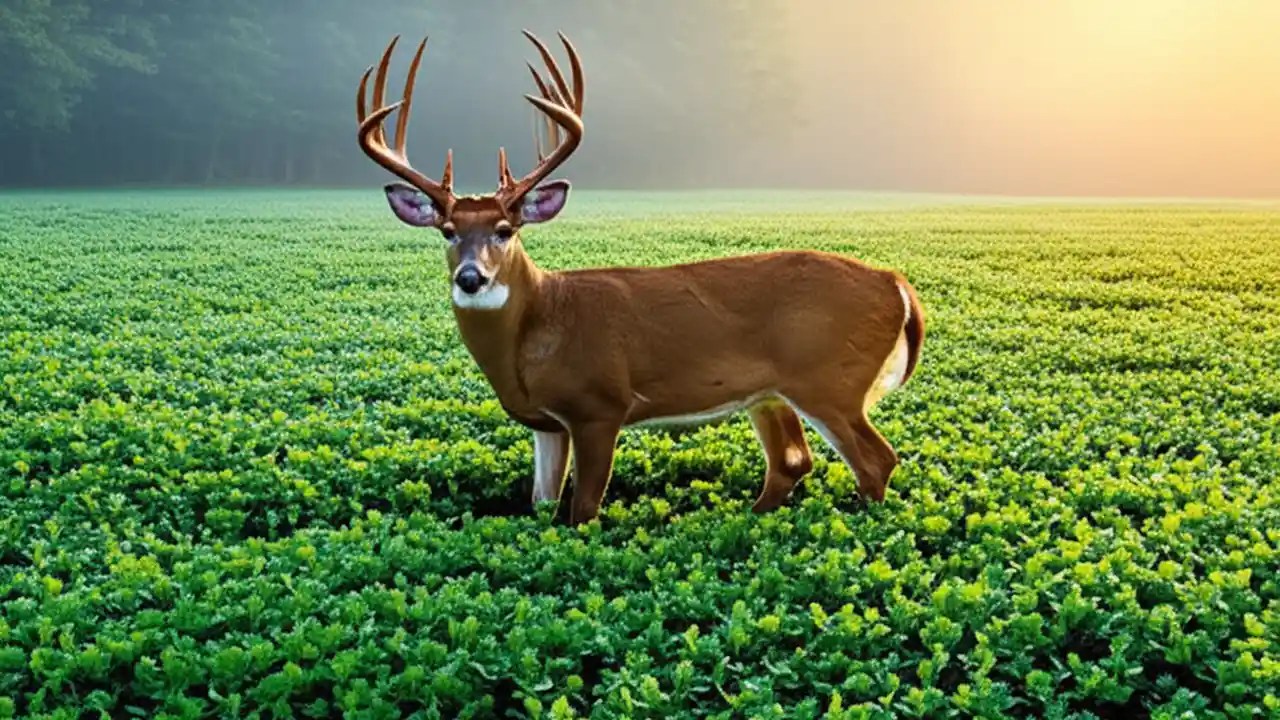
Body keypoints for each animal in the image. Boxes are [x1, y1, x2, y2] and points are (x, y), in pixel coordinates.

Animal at [355, 30, 926, 524]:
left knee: (876, 459)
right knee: (791, 462)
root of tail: (895, 283)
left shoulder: (600, 404)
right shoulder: (546, 424)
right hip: (772, 394)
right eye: (448, 231)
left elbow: (582, 509)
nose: (472, 278)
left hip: (829, 378)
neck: (536, 332)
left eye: (504, 230)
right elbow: (541, 504)